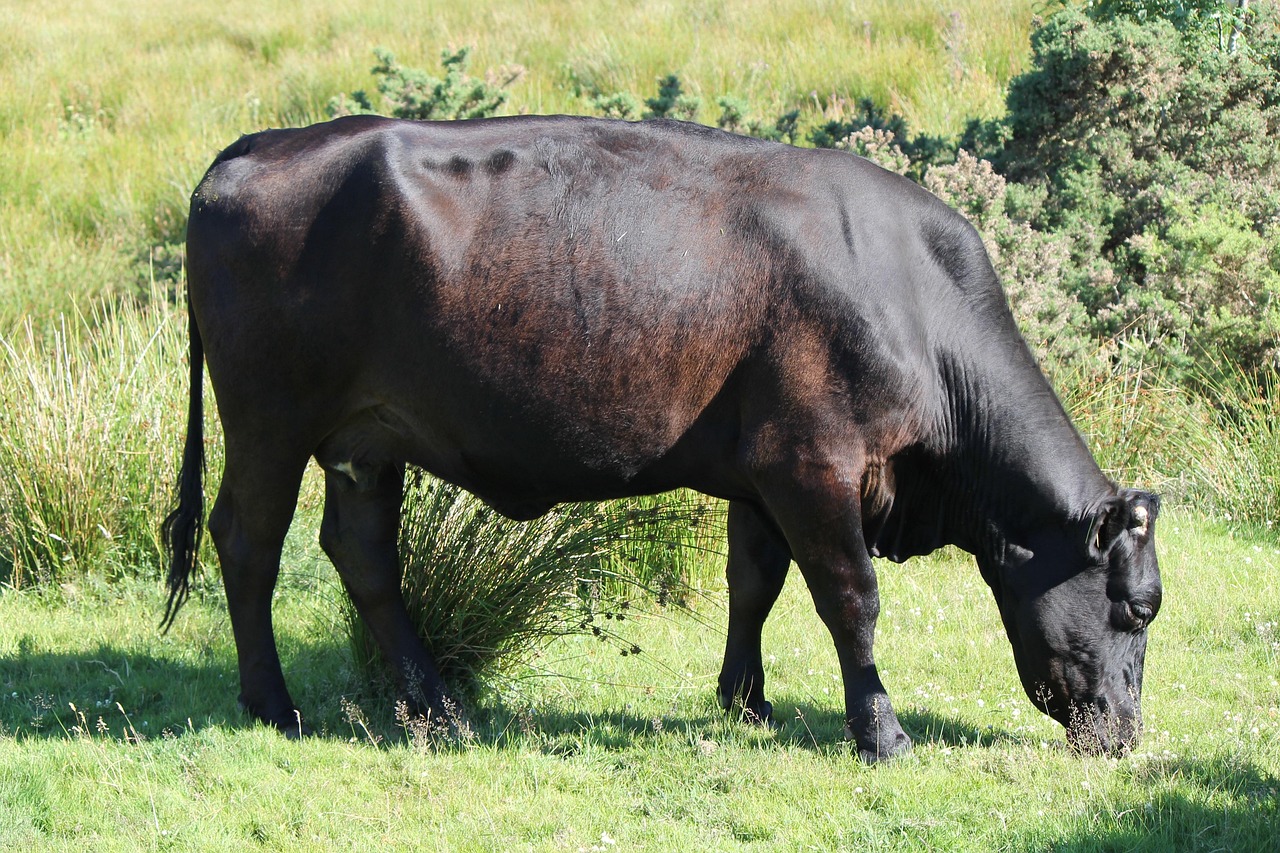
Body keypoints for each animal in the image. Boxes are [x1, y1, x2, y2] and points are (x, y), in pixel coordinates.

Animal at [164, 114, 1162, 762]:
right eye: (1140, 607)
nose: (1124, 732)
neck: (911, 296)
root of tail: (254, 146)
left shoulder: (765, 471)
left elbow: (754, 584)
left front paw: (745, 700)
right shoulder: (813, 464)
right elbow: (851, 599)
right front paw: (880, 731)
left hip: (364, 442)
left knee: (363, 557)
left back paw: (438, 708)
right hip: (269, 420)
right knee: (247, 543)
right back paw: (275, 704)